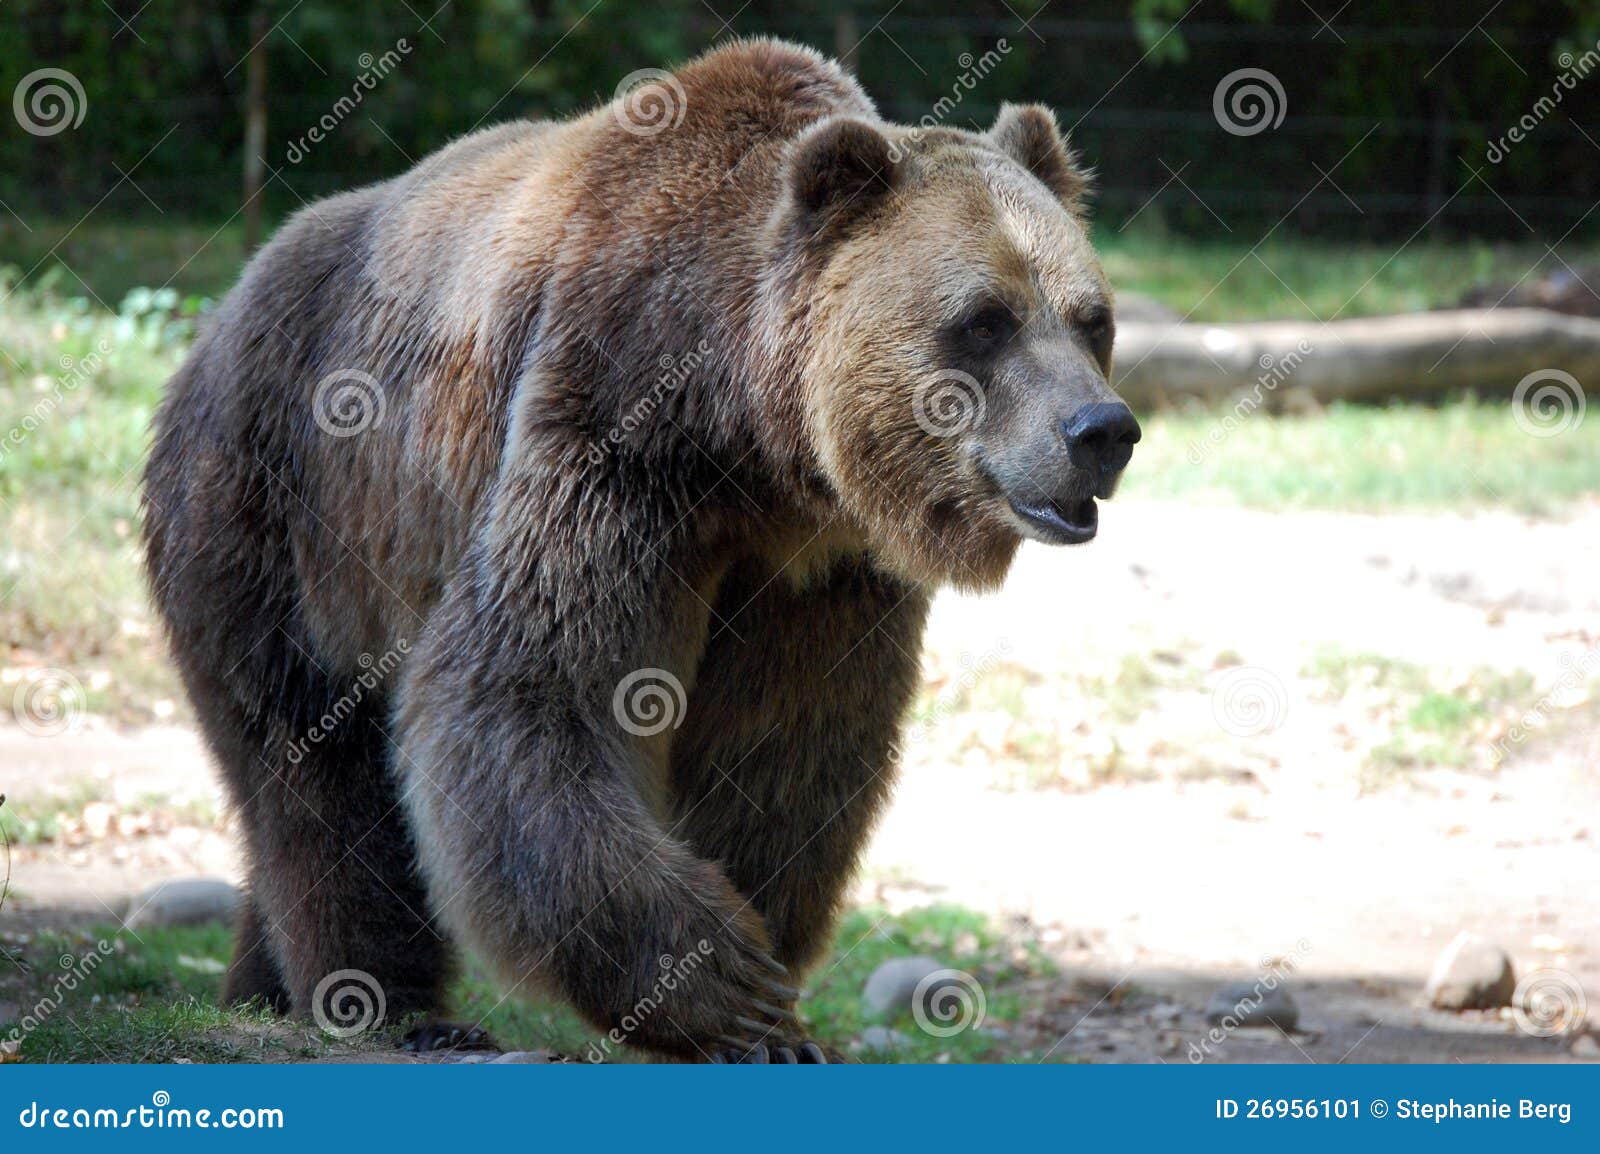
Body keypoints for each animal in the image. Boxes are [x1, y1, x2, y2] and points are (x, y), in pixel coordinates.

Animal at [140, 38, 1138, 1062]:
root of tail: (222, 308)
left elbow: (786, 745)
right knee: (312, 763)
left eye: (1090, 318)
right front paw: (728, 993)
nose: (1100, 431)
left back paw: (259, 988)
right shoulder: (612, 442)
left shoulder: (816, 571)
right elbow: (533, 692)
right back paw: (388, 1004)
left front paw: (770, 990)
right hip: (275, 507)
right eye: (985, 321)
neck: (752, 445)